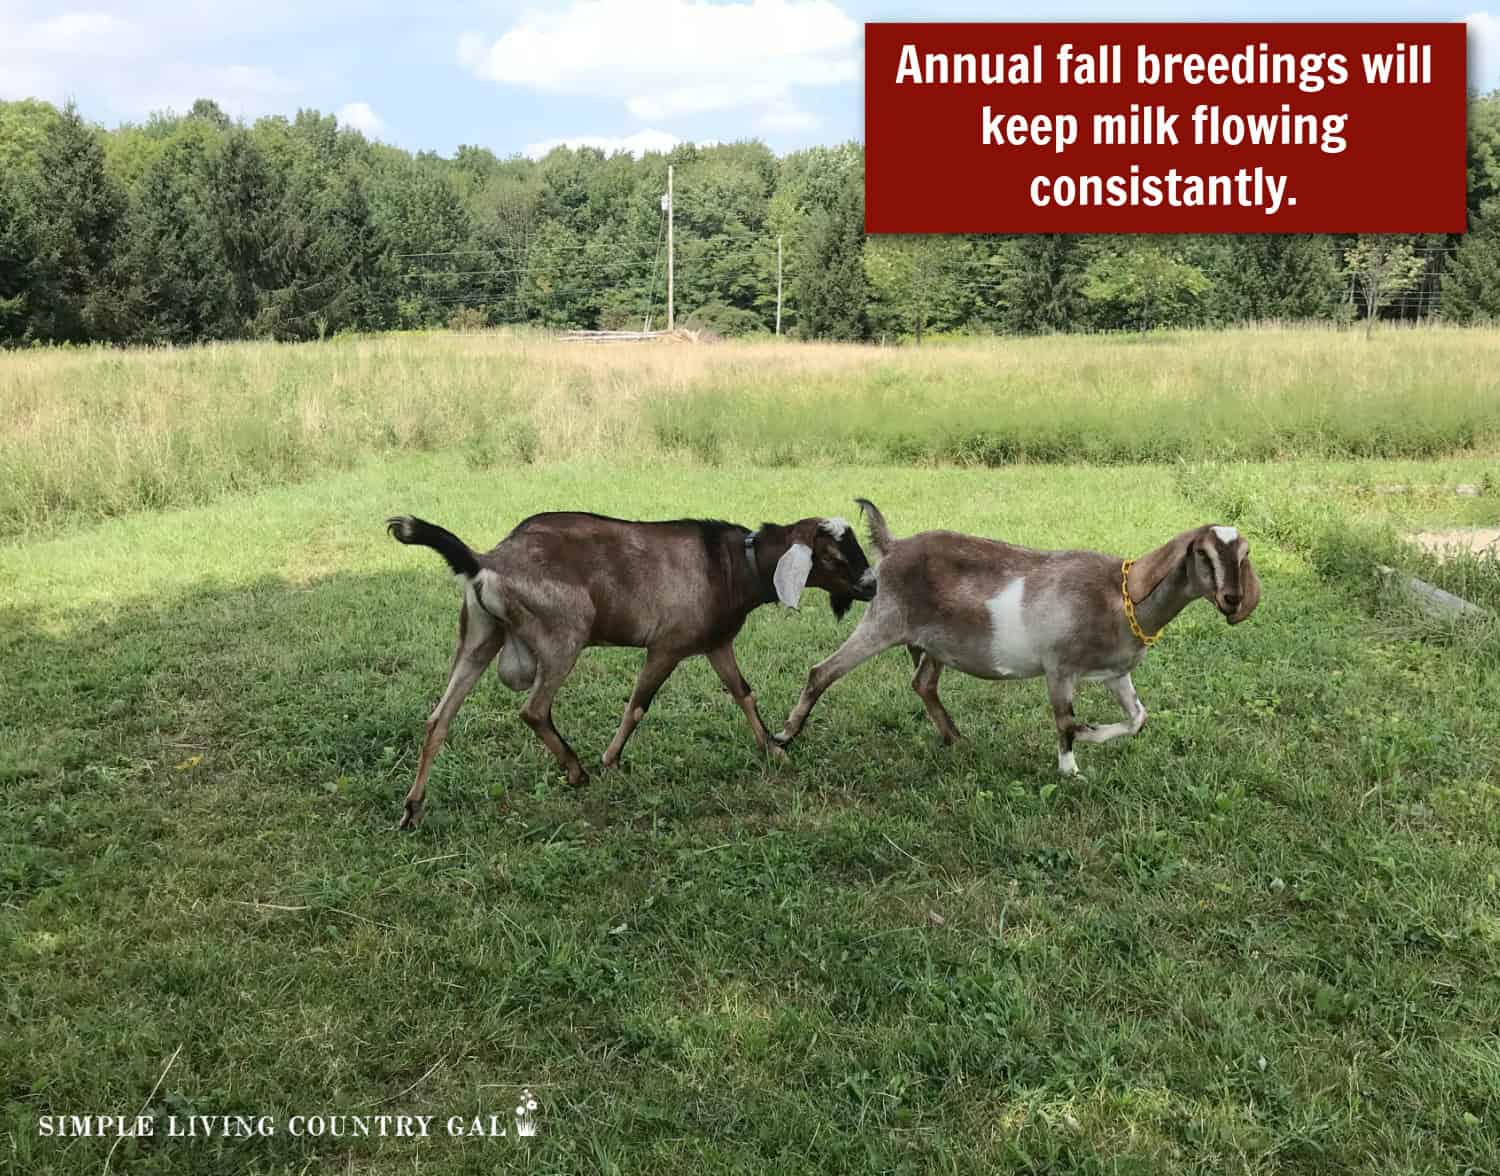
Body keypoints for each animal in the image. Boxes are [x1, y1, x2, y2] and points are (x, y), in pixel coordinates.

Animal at [386, 509, 876, 828]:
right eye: (832, 556)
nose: (872, 586)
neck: (731, 565)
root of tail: (486, 562)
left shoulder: (716, 644)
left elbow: (743, 692)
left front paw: (773, 748)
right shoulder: (667, 646)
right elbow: (639, 704)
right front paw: (610, 760)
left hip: (478, 638)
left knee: (438, 719)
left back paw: (412, 808)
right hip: (565, 635)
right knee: (533, 709)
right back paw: (577, 771)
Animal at [773, 500, 1261, 775]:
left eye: (1243, 555)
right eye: (1202, 554)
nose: (1233, 598)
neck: (1118, 598)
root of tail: (893, 547)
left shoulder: (1113, 672)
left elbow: (1138, 718)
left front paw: (1092, 733)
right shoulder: (1059, 666)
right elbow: (1064, 720)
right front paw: (1071, 767)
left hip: (934, 642)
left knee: (923, 684)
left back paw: (957, 740)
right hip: (883, 621)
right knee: (822, 672)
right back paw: (784, 736)